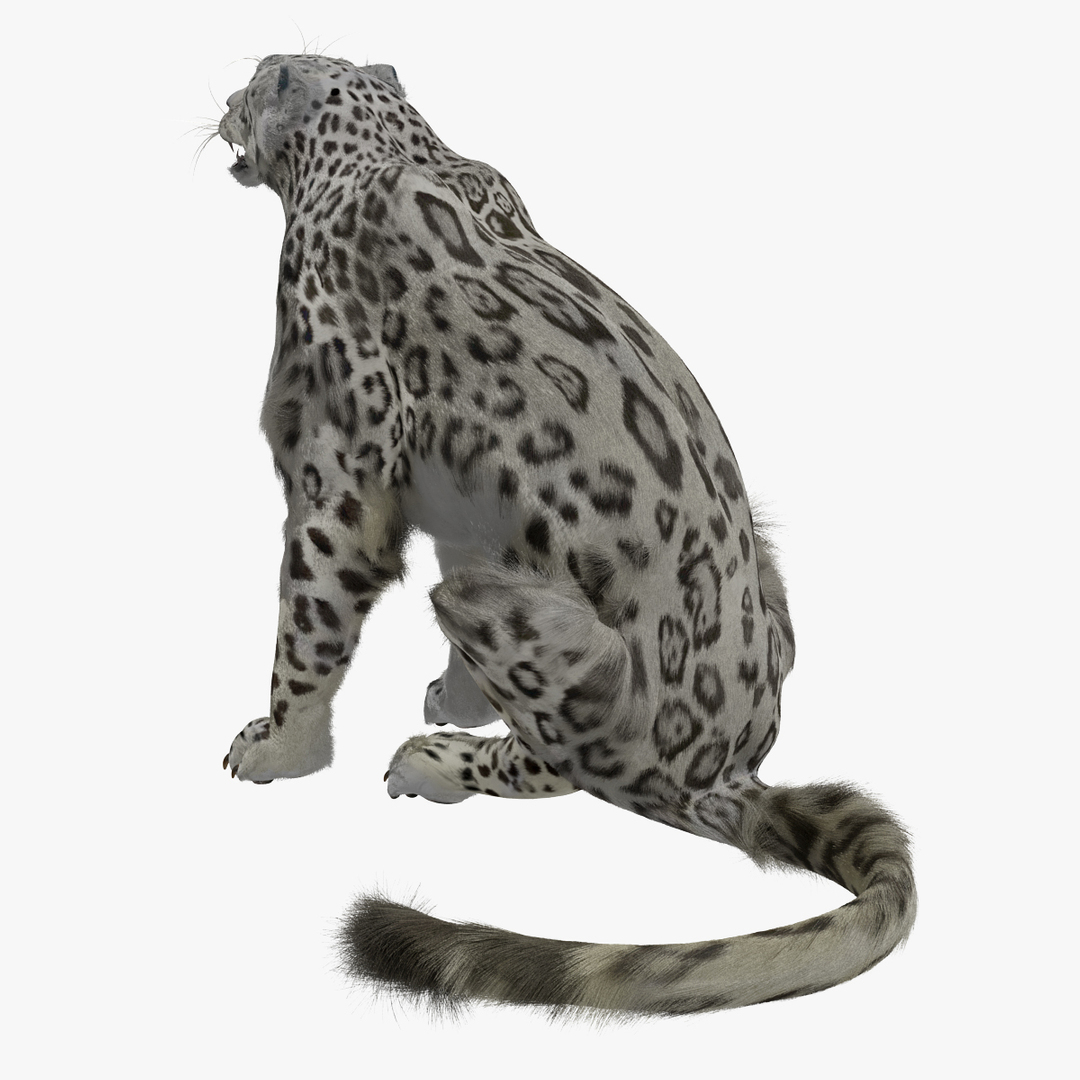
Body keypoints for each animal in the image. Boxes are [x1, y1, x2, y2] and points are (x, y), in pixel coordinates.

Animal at [216, 53, 915, 1016]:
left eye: (256, 84)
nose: (221, 106)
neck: (382, 150)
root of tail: (726, 771)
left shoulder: (335, 477)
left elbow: (306, 627)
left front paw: (276, 748)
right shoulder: (471, 506)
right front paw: (452, 693)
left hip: (505, 620)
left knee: (560, 763)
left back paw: (432, 763)